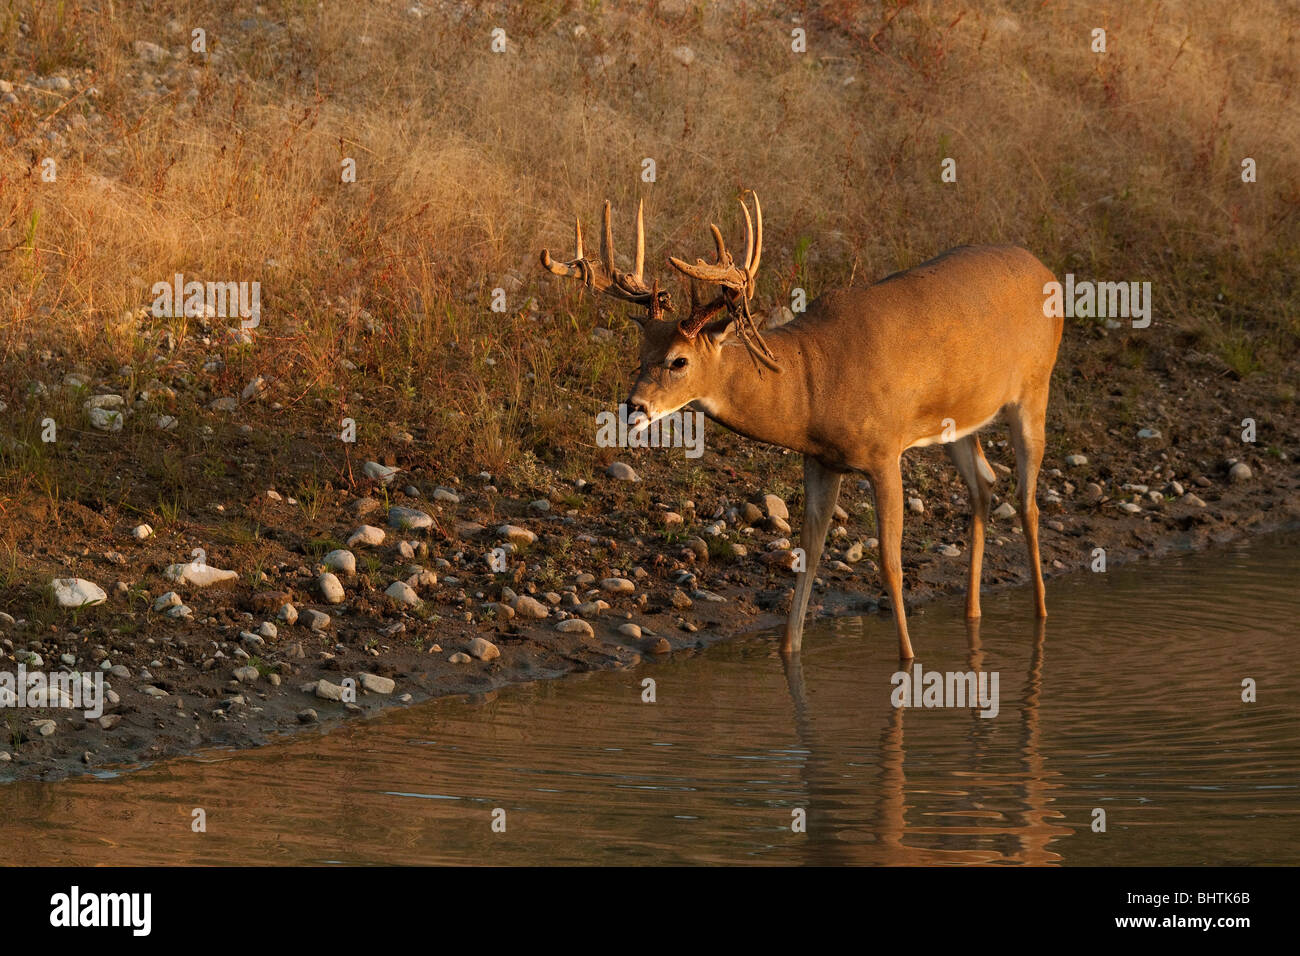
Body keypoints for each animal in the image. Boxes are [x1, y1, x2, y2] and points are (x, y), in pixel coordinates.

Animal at [540, 193, 1063, 660]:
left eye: (678, 360)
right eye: (640, 354)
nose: (634, 407)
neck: (814, 383)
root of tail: (1044, 267)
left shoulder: (884, 453)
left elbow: (890, 563)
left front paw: (908, 657)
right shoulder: (820, 460)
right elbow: (807, 554)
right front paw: (788, 651)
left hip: (1034, 388)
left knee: (1027, 499)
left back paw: (1041, 614)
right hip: (961, 422)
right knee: (984, 485)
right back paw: (974, 613)